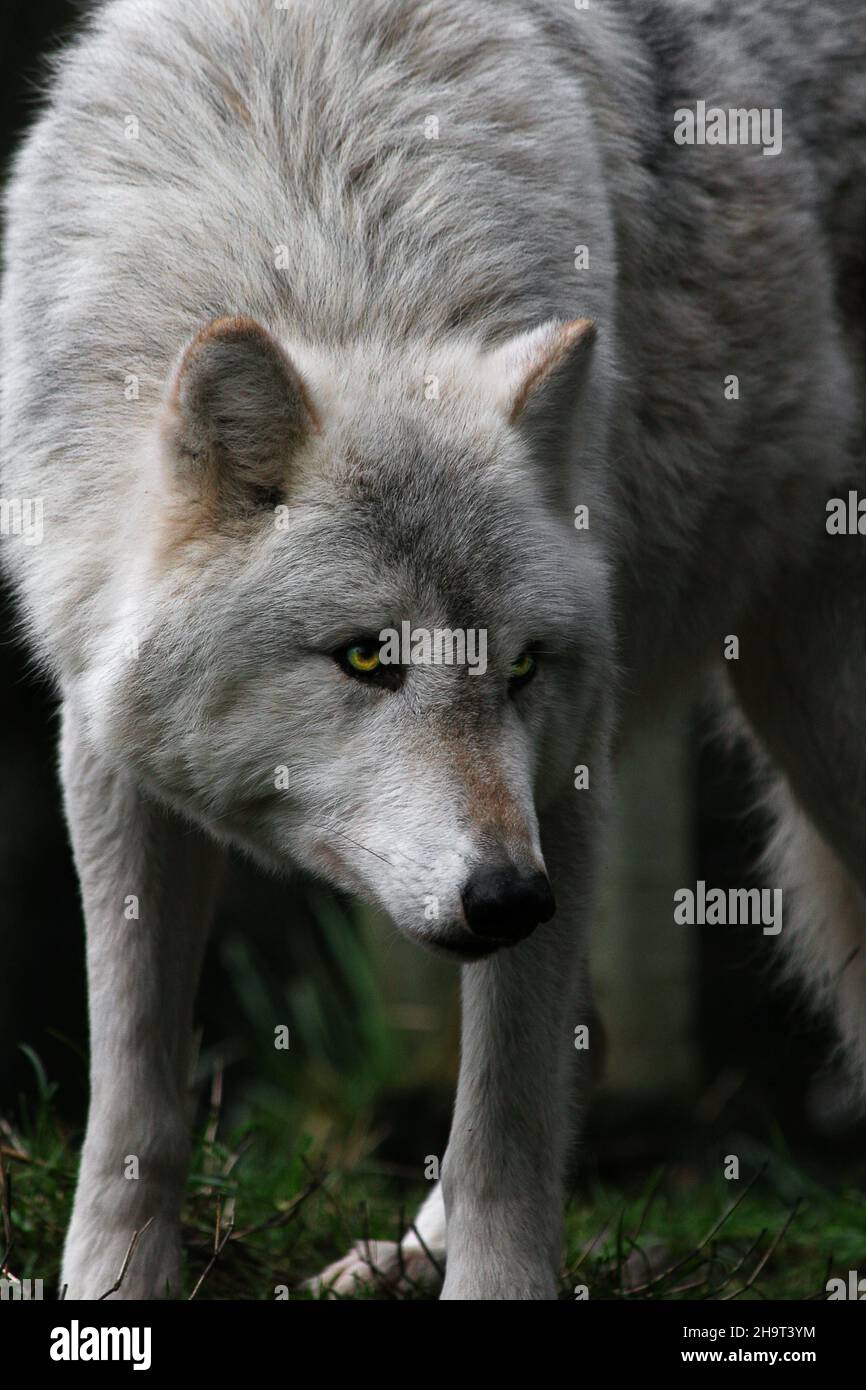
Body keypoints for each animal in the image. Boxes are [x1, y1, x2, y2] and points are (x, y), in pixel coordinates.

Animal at [0, 0, 863, 1300]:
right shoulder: (104, 742)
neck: (326, 211)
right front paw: (113, 1289)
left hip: (815, 720)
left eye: (518, 667)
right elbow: (133, 1095)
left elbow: (502, 1115)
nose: (509, 896)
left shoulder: (566, 774)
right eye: (366, 659)